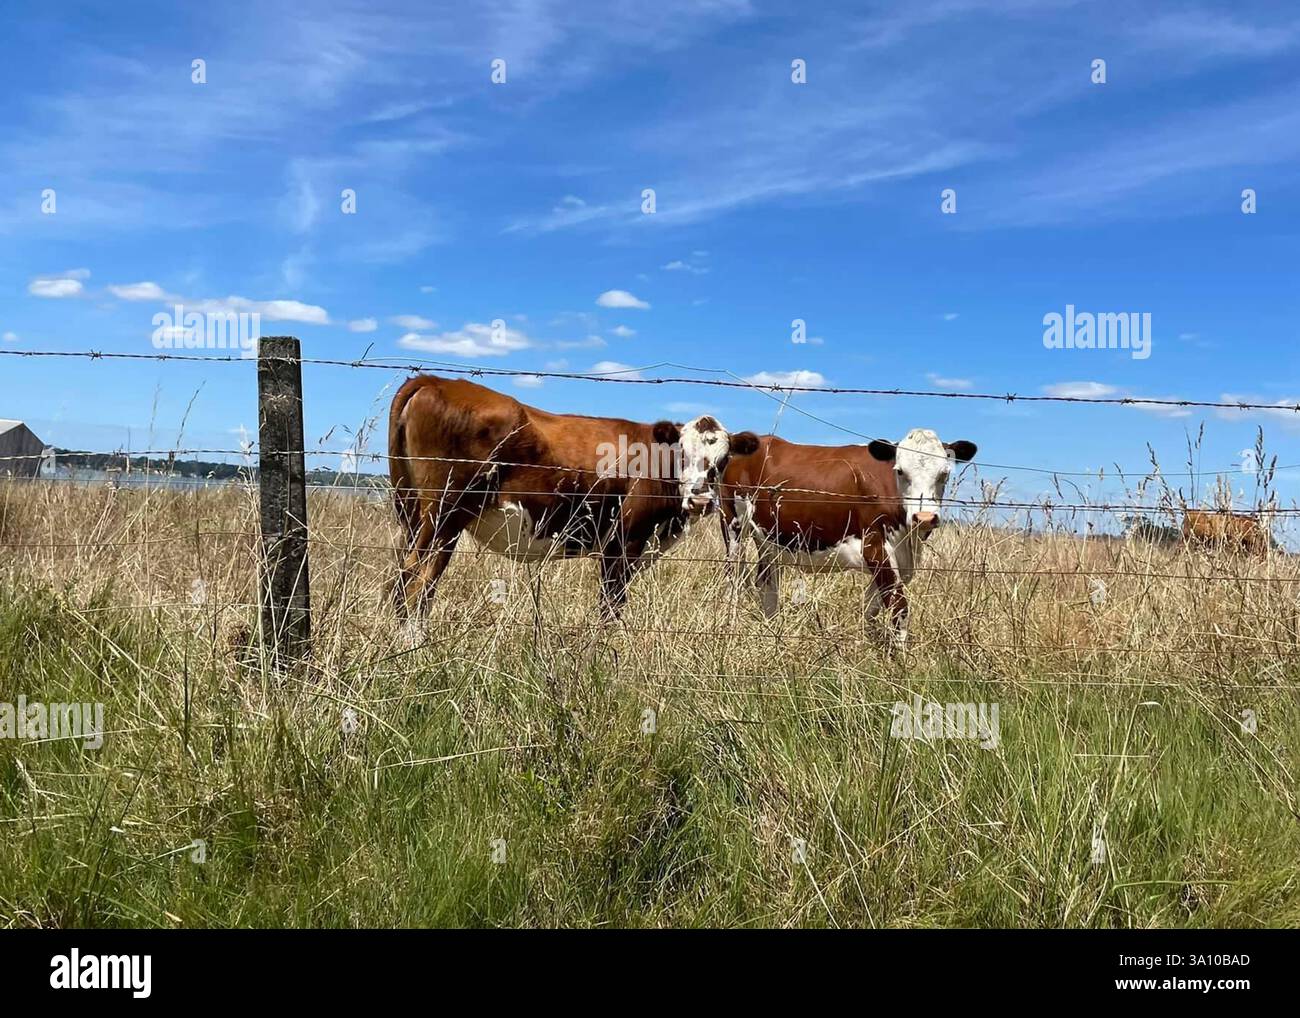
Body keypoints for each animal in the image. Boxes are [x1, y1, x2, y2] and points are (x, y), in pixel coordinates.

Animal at [389, 375, 759, 620]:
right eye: (681, 454)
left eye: (723, 460)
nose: (700, 501)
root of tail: (433, 380)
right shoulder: (622, 544)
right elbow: (610, 608)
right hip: (444, 514)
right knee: (415, 583)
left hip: (414, 513)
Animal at [719, 429, 977, 649]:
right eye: (900, 471)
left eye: (944, 473)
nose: (924, 517)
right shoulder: (874, 547)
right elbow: (899, 607)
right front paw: (902, 662)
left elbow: (870, 609)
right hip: (733, 526)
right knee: (734, 581)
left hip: (769, 539)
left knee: (766, 582)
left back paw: (772, 631)